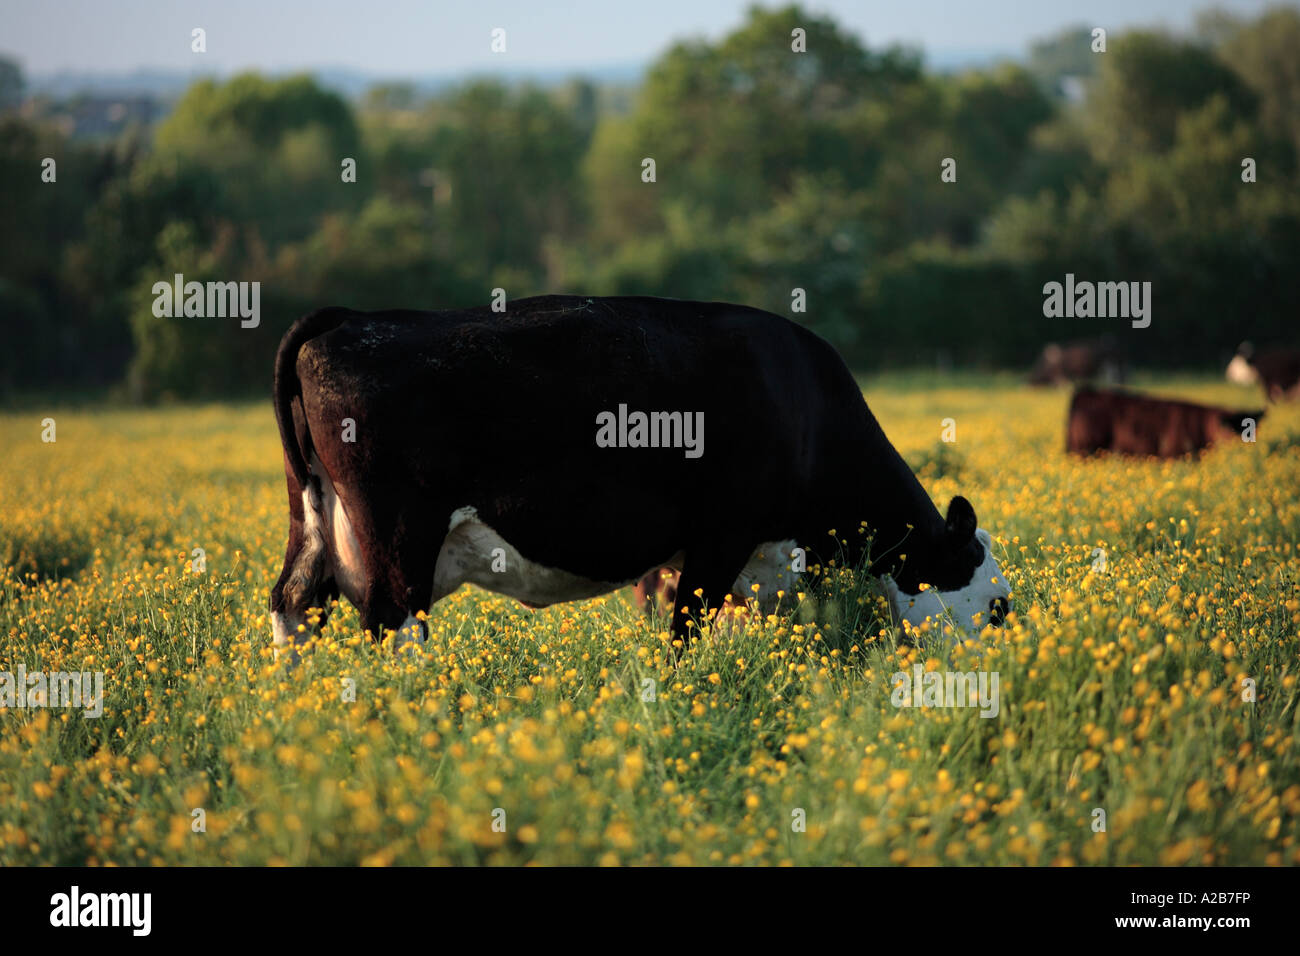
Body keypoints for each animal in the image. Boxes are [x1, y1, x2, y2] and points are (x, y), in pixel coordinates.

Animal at [269, 295, 1012, 657]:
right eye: (1001, 607)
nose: (1001, 669)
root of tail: (352, 319)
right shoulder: (722, 536)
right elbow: (684, 631)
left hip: (314, 520)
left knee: (292, 604)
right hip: (400, 539)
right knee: (395, 628)